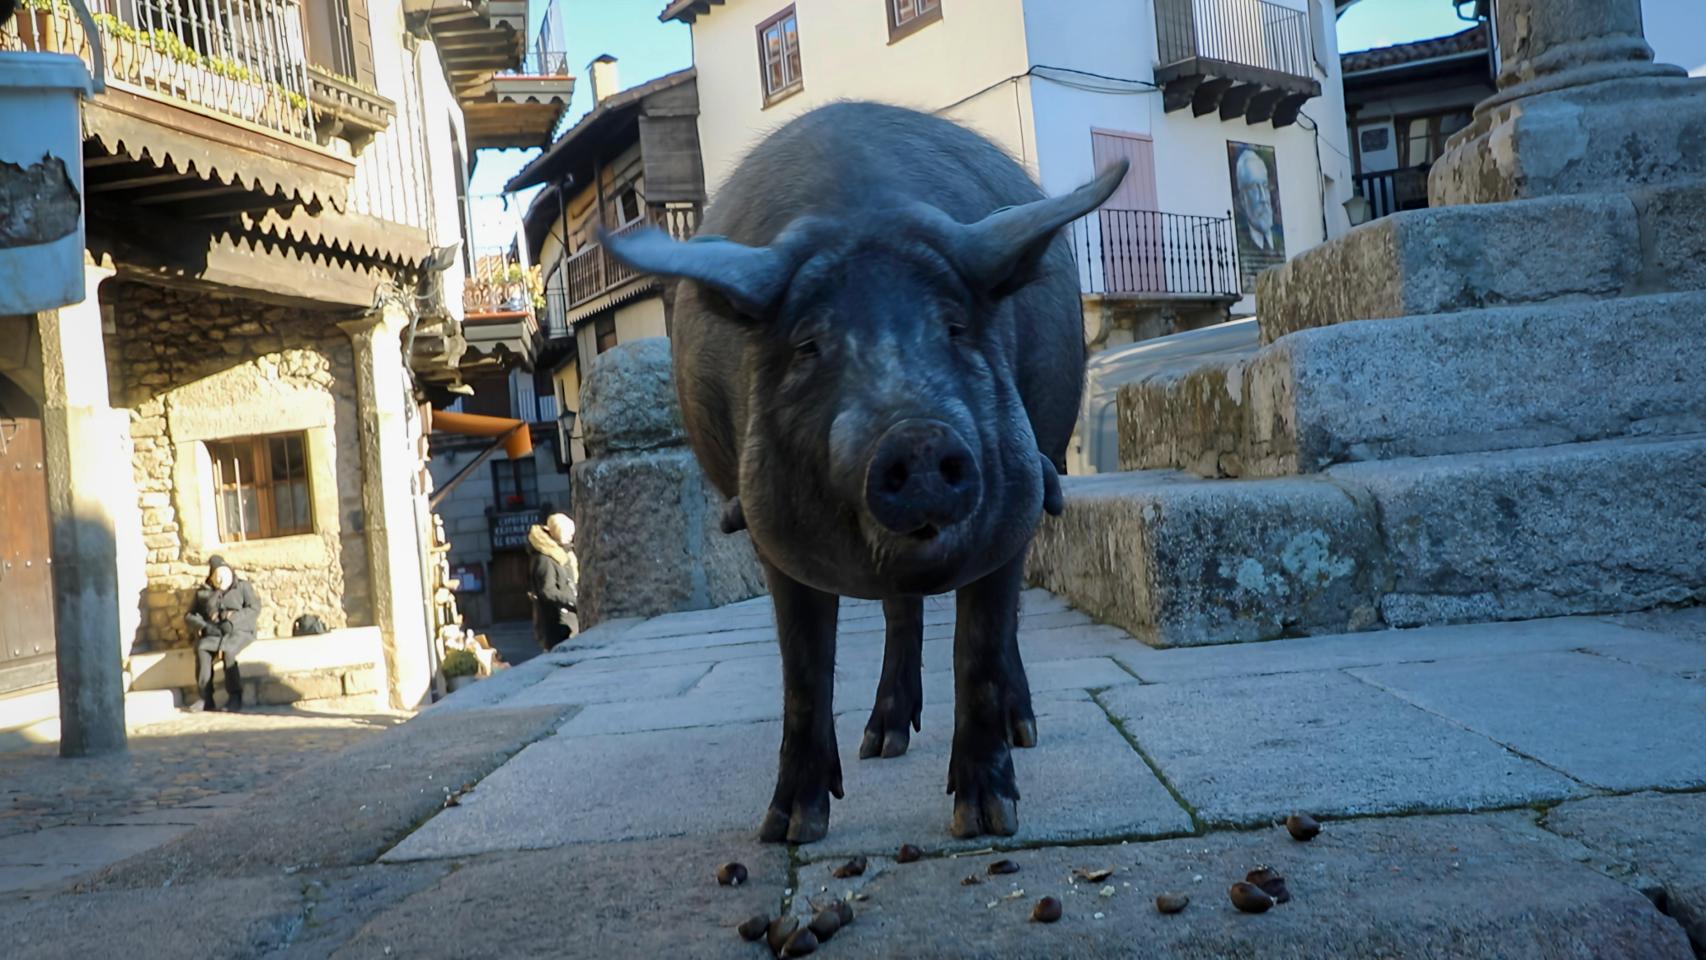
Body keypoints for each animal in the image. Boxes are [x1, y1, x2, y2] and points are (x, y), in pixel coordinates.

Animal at [604, 101, 1125, 843]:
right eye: (809, 345)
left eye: (956, 328)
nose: (916, 434)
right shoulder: (769, 527)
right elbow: (803, 668)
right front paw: (787, 829)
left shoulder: (1016, 490)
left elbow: (981, 645)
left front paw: (986, 821)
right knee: (900, 611)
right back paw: (881, 742)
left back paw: (1019, 731)